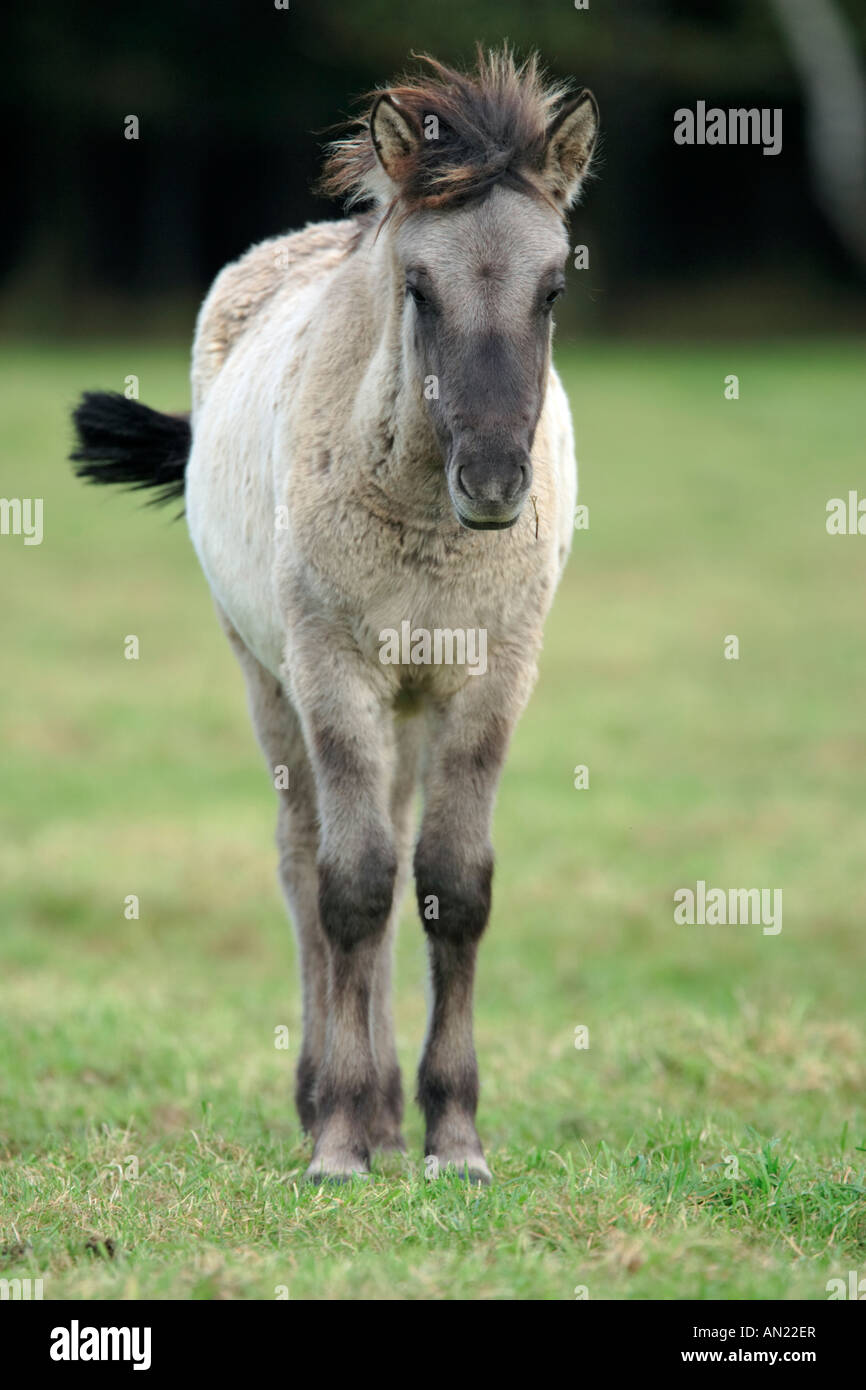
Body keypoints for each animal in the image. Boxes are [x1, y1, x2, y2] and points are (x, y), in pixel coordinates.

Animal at [70, 48, 598, 1184]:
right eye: (417, 286)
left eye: (552, 287)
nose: (495, 481)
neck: (426, 523)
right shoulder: (331, 671)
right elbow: (348, 886)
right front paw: (342, 1140)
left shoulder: (488, 678)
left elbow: (452, 886)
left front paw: (452, 1138)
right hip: (270, 679)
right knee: (303, 862)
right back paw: (331, 1101)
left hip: (405, 705)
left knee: (393, 854)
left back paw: (398, 1119)